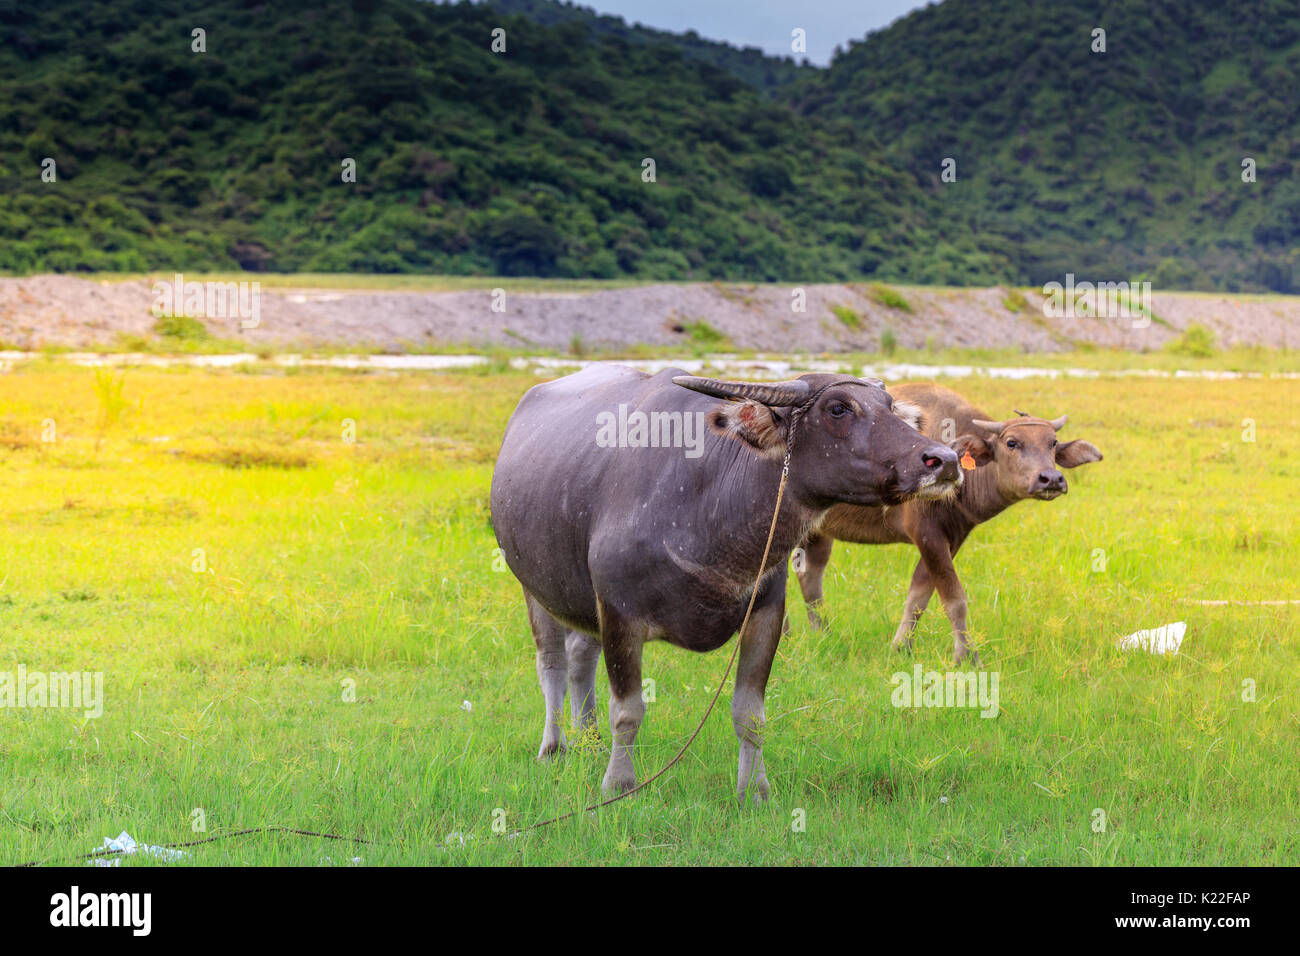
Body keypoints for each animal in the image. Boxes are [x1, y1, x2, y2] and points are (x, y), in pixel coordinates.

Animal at [491, 365, 961, 799]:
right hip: (534, 589)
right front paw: (619, 784)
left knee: (580, 658)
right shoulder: (619, 614)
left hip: (582, 601)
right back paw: (555, 747)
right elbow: (627, 711)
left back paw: (589, 742)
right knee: (553, 664)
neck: (709, 508)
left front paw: (754, 789)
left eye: (891, 408)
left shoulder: (766, 614)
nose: (945, 460)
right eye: (838, 408)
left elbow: (749, 713)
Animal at [794, 383, 1103, 664]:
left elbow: (919, 597)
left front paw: (900, 648)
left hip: (817, 531)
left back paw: (819, 633)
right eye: (1012, 443)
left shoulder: (953, 536)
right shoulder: (926, 533)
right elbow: (954, 599)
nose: (1051, 479)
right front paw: (966, 656)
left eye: (1053, 443)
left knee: (810, 577)